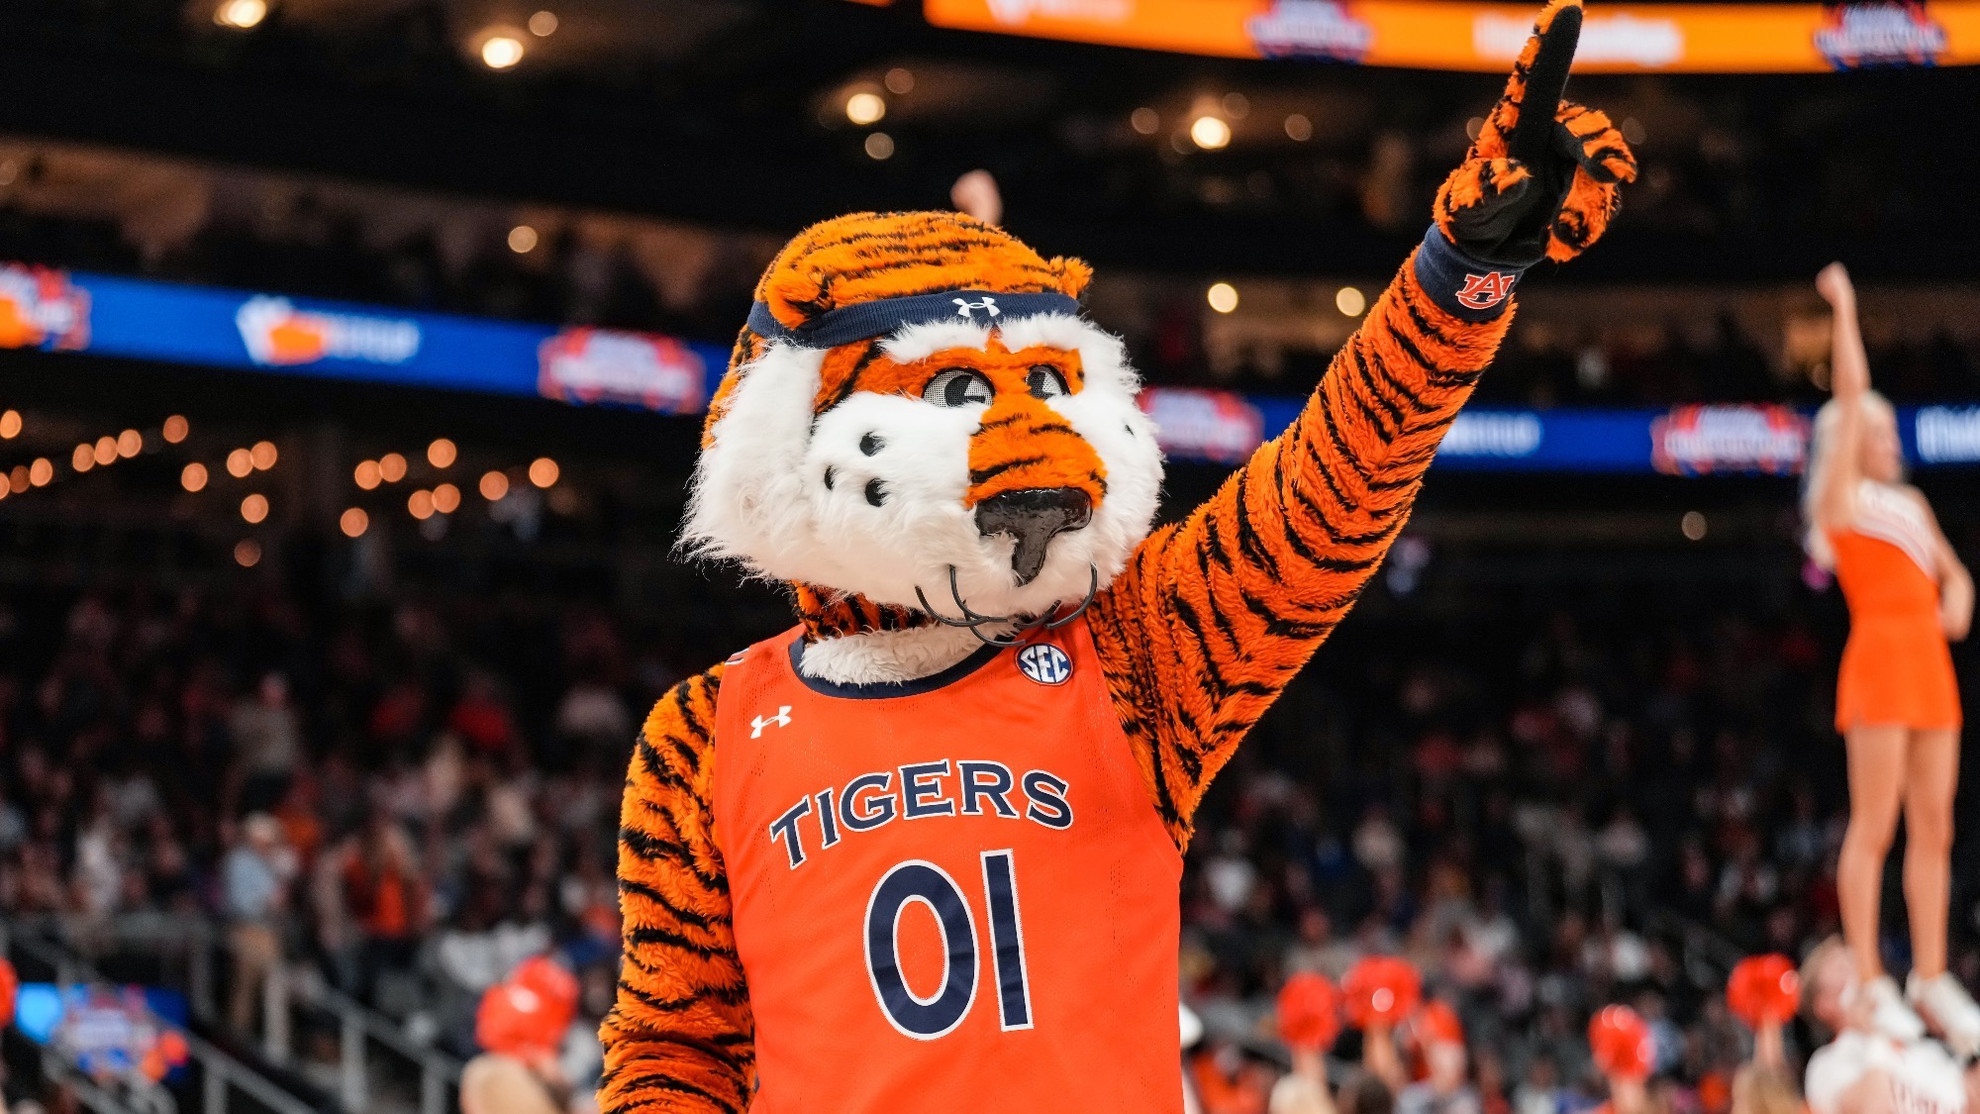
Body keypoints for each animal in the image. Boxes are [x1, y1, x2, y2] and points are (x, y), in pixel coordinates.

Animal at [601, 3, 1634, 1110]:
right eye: (961, 389)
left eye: (1053, 383)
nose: (1063, 476)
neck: (893, 636)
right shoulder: (673, 750)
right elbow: (678, 1021)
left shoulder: (1168, 629)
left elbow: (1319, 494)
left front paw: (1511, 187)